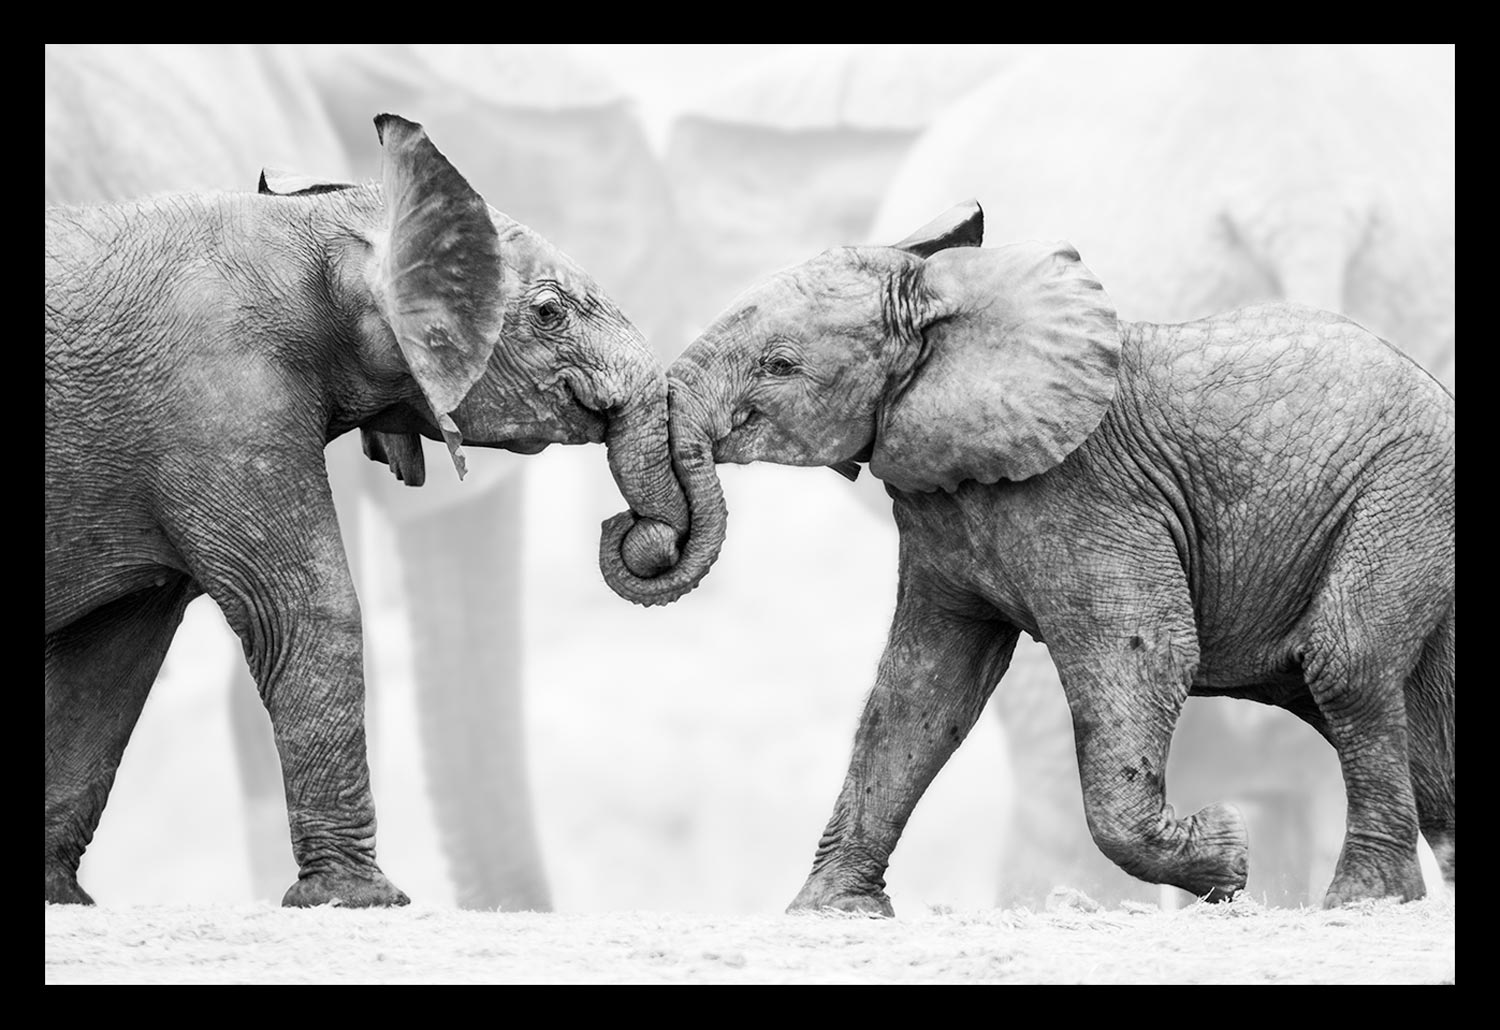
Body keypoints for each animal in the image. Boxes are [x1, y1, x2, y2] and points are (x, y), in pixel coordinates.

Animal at [45, 113, 685, 906]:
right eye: (549, 313)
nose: (632, 533)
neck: (322, 223)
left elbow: (107, 659)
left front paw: (60, 897)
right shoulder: (220, 402)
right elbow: (305, 610)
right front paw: (360, 900)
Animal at [602, 201, 1455, 913]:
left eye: (779, 365)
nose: (634, 534)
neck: (949, 310)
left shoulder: (1092, 497)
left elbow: (1142, 654)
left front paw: (1226, 856)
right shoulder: (942, 515)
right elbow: (922, 692)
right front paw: (829, 914)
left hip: (1404, 498)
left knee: (1346, 664)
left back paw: (1363, 902)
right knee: (1426, 721)